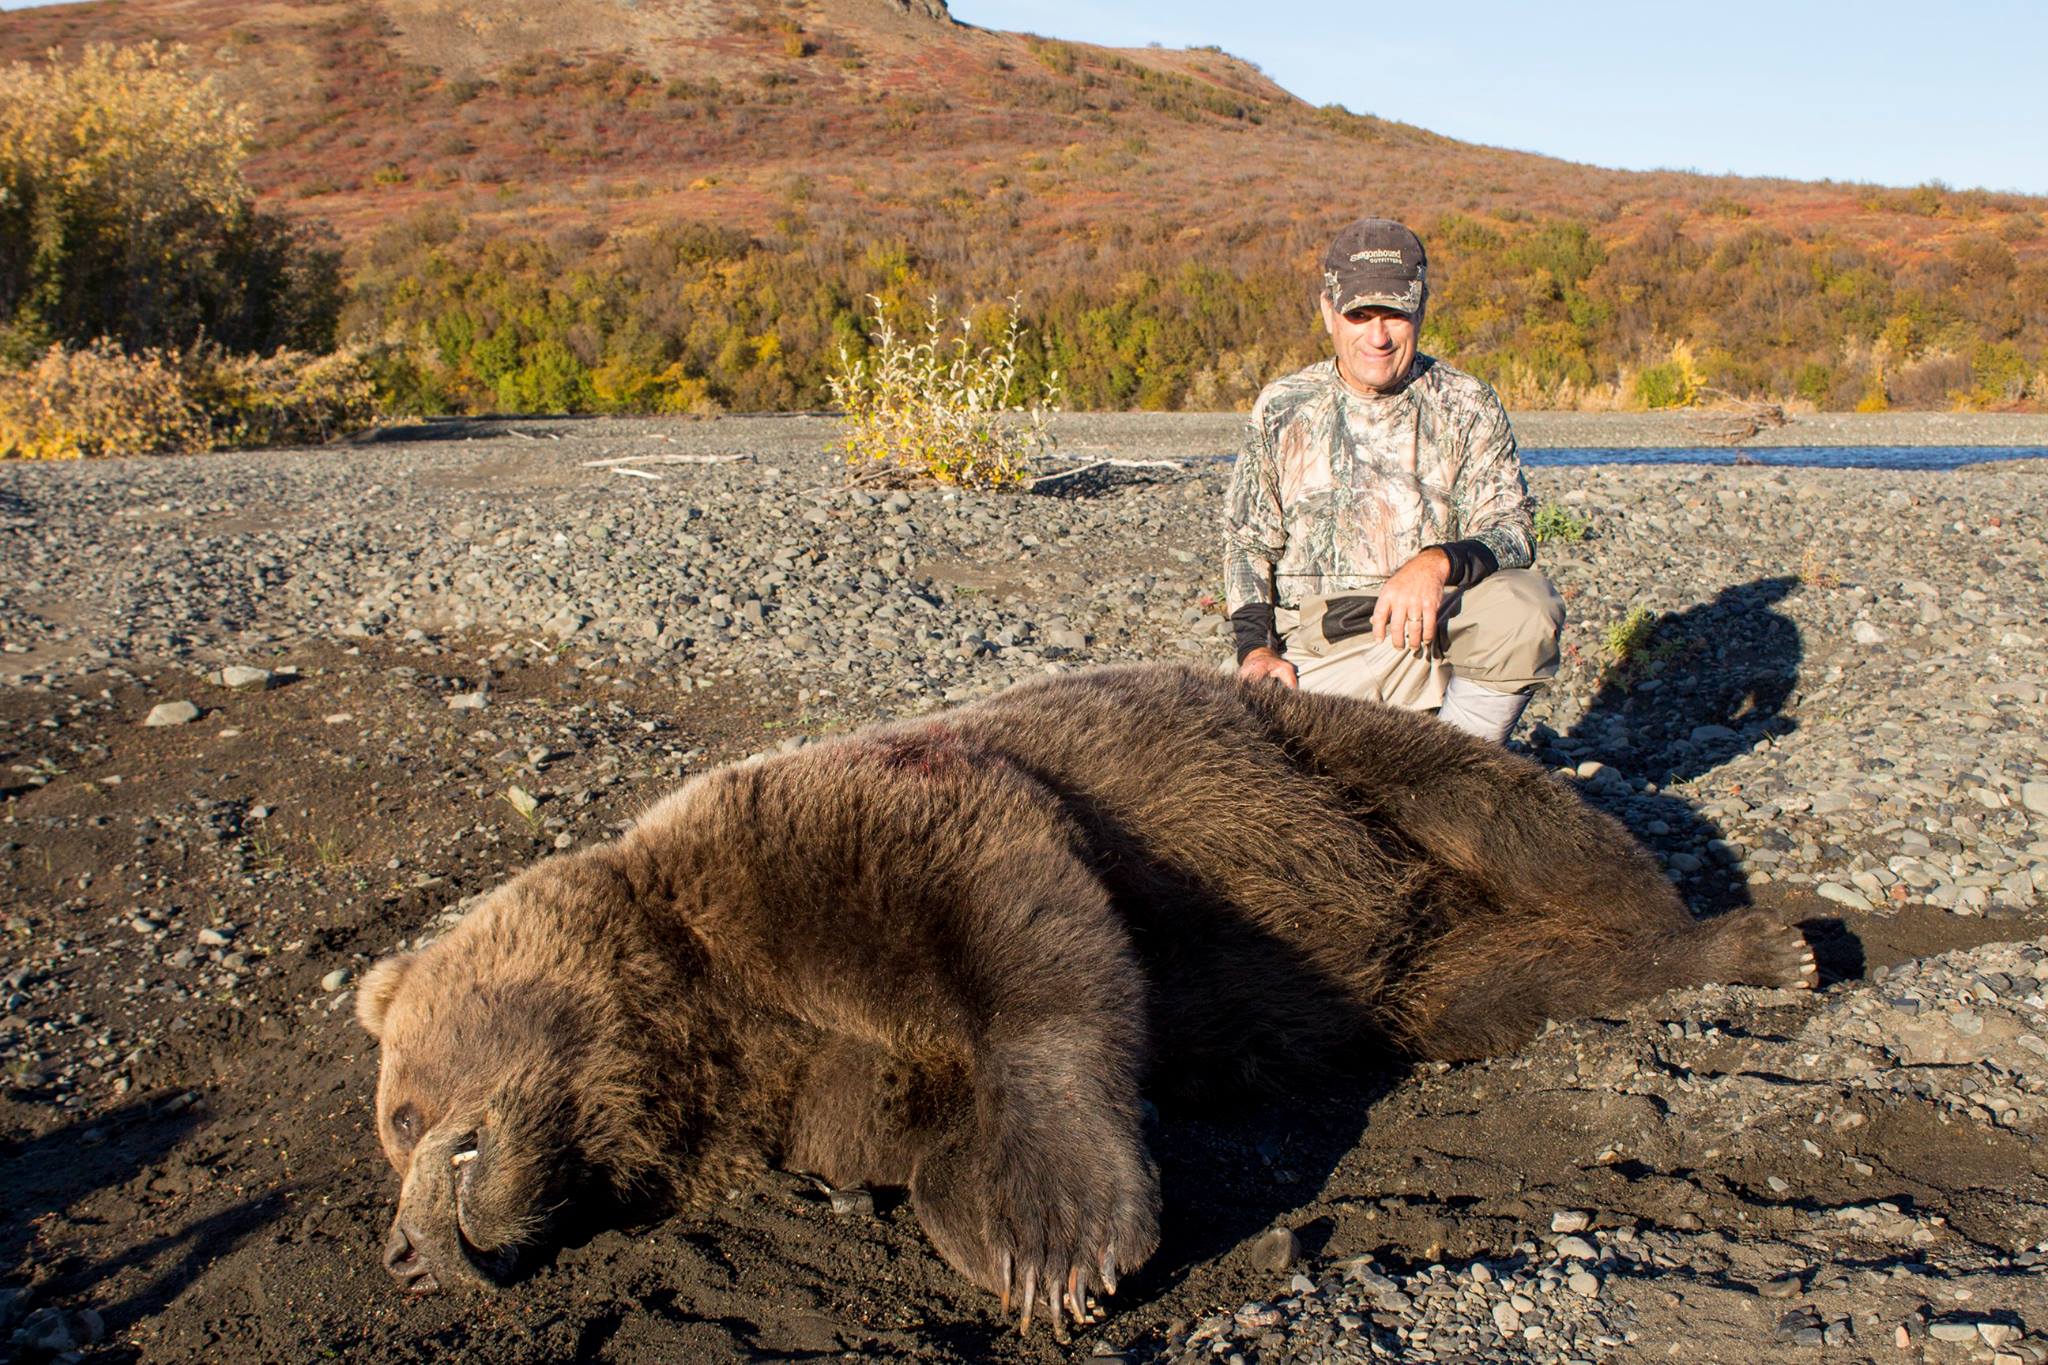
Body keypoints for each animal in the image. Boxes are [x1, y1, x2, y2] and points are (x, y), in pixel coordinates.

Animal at [356, 663, 1813, 1337]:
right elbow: (915, 1134)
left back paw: (1758, 942)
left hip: (1341, 757)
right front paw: (1001, 1238)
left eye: (399, 1112)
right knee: (1515, 981)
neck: (703, 1016)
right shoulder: (814, 1073)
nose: (404, 1249)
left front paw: (1061, 1240)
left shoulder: (839, 839)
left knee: (1540, 831)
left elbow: (1017, 926)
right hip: (1428, 980)